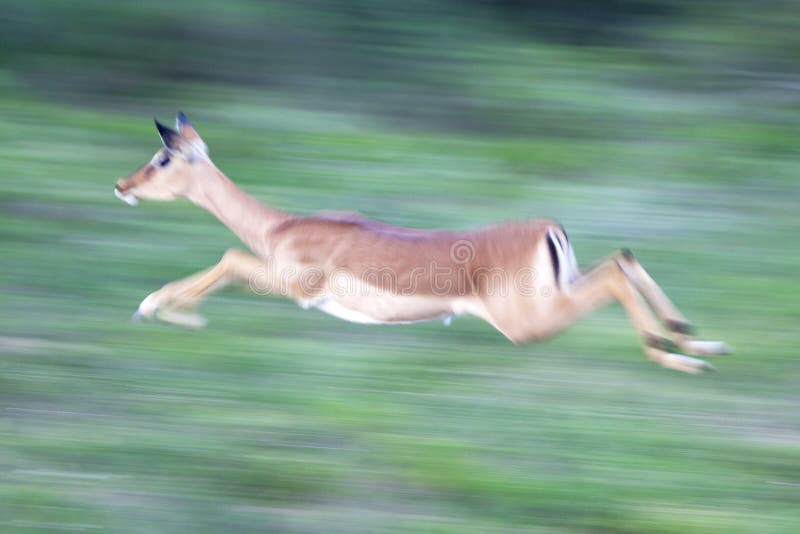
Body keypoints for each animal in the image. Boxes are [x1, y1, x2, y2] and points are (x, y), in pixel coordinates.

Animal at [114, 113, 731, 373]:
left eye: (163, 157)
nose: (122, 186)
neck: (280, 226)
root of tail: (547, 228)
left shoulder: (293, 283)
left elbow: (229, 258)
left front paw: (160, 308)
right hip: (561, 289)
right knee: (623, 259)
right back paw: (700, 342)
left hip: (529, 321)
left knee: (616, 277)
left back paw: (678, 357)